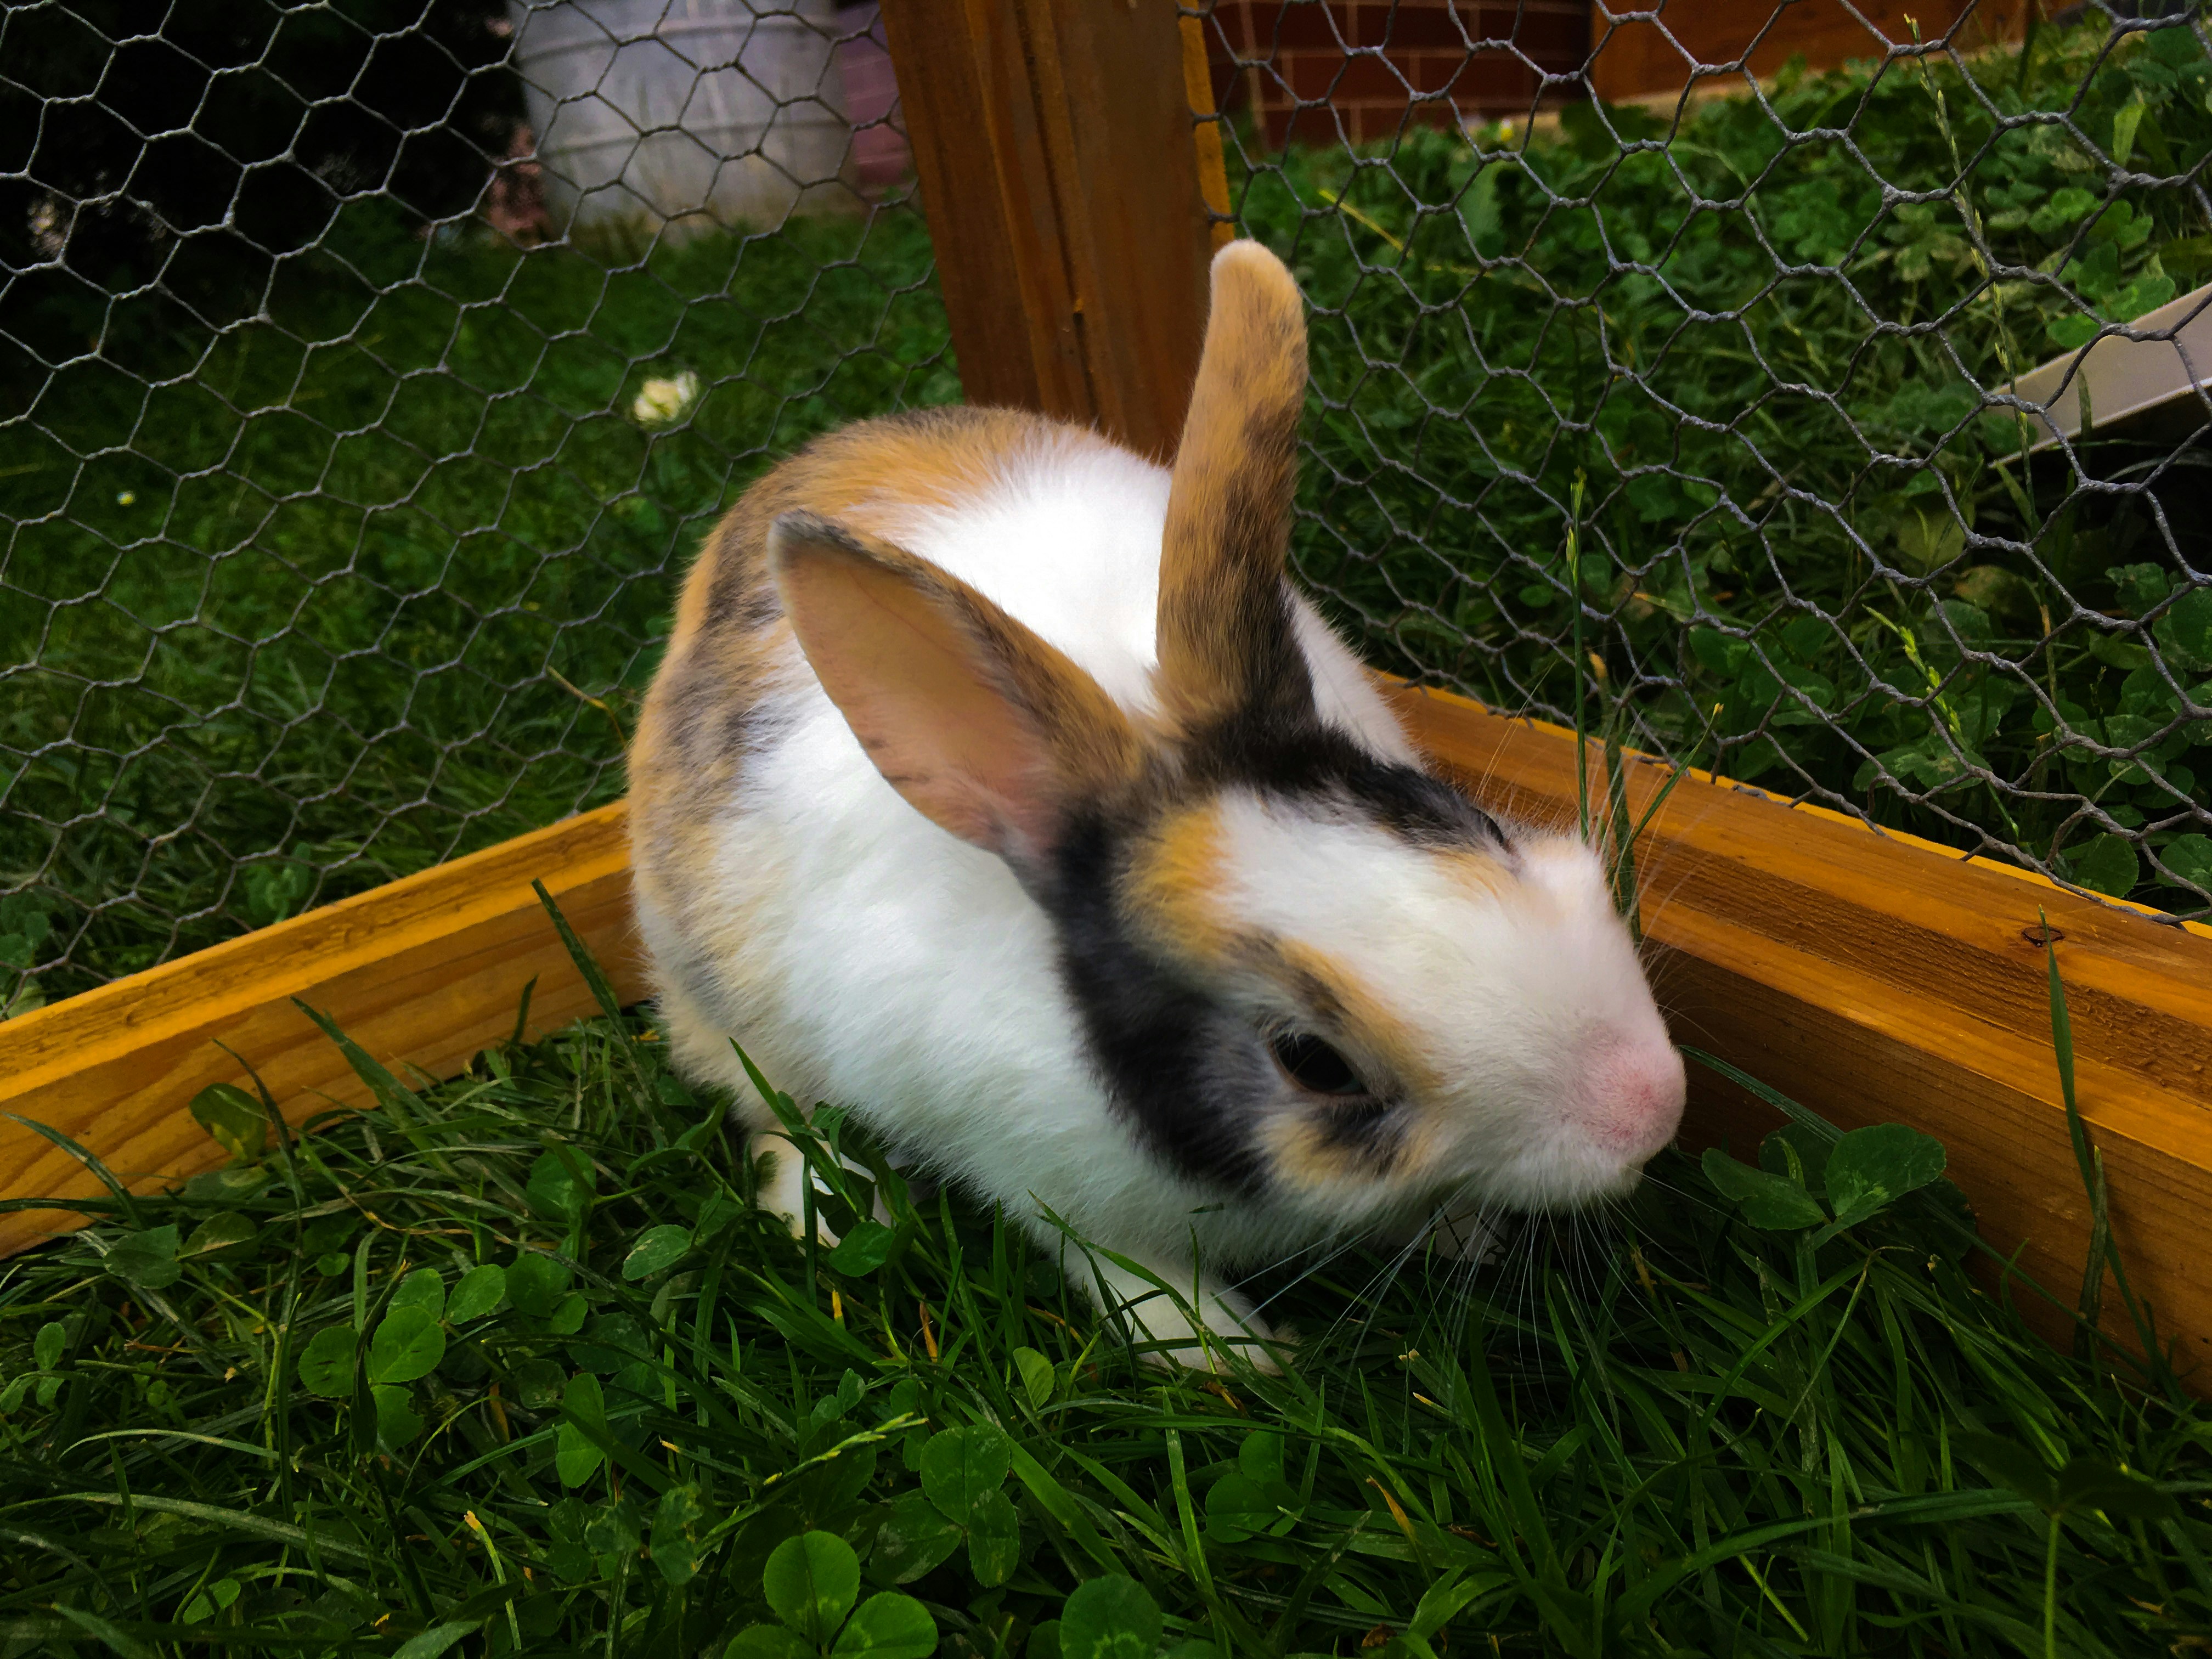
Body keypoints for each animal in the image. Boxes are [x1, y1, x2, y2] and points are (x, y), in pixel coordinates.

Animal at [628, 239, 1686, 1367]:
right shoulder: (1045, 1177)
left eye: (1476, 825)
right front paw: (1235, 1355)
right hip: (725, 1003)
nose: (1652, 1105)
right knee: (780, 1115)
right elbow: (1129, 1271)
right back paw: (824, 1219)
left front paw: (1462, 1233)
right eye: (1313, 1062)